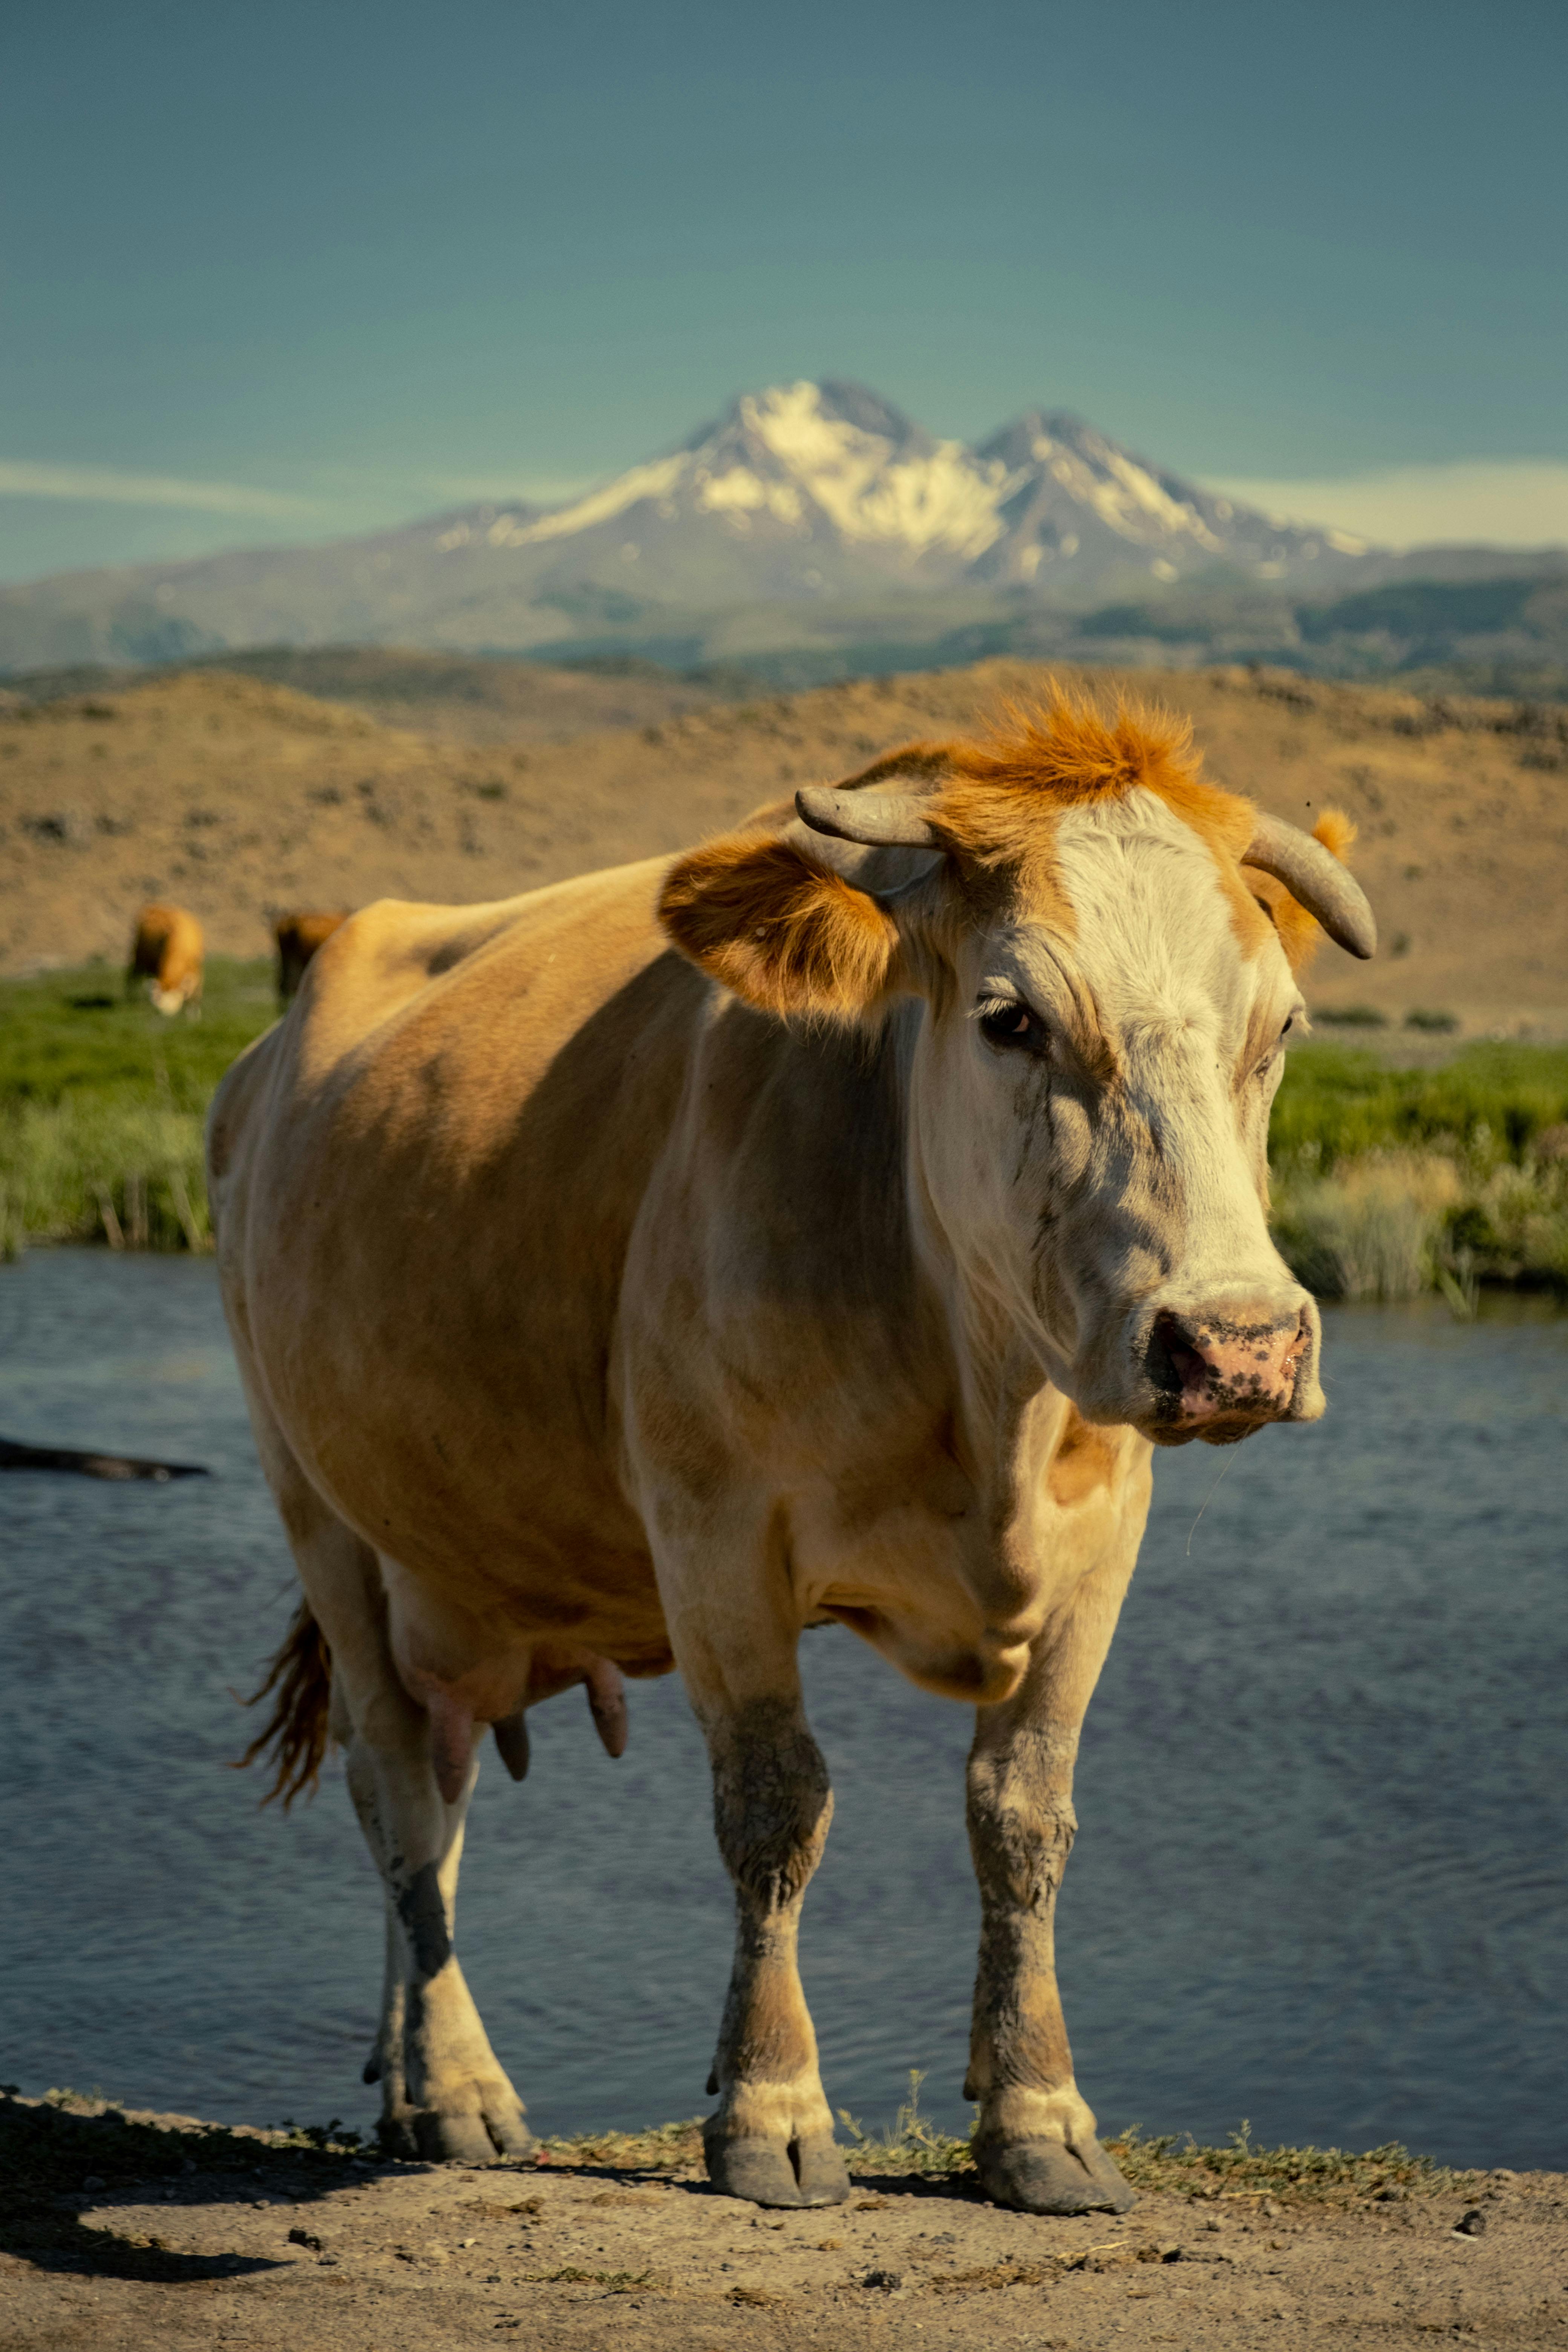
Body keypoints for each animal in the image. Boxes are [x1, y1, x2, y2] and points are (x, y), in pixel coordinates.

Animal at [126, 902, 203, 1015]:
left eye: (177, 1000)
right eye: (158, 1001)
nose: (167, 1016)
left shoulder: (195, 967)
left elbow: (195, 989)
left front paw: (193, 1013)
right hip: (139, 955)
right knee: (132, 976)